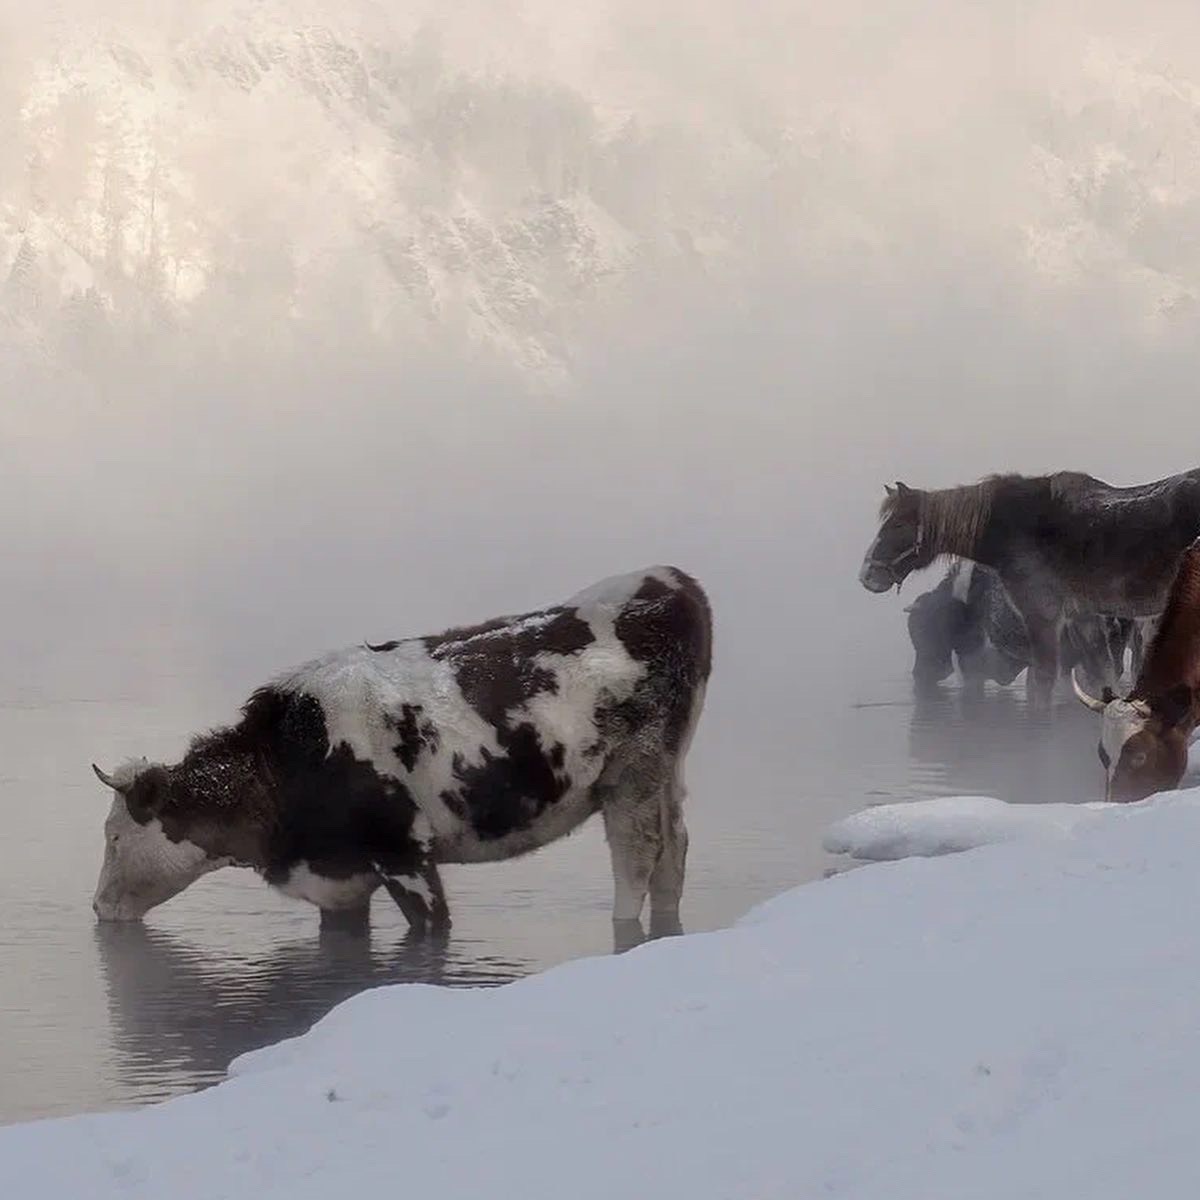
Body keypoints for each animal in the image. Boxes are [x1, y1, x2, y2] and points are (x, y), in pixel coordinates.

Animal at [91, 567, 712, 943]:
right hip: (666, 776)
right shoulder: (339, 881)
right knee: (675, 852)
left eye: (115, 836)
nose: (98, 907)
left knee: (638, 860)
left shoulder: (405, 854)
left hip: (630, 780)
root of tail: (668, 578)